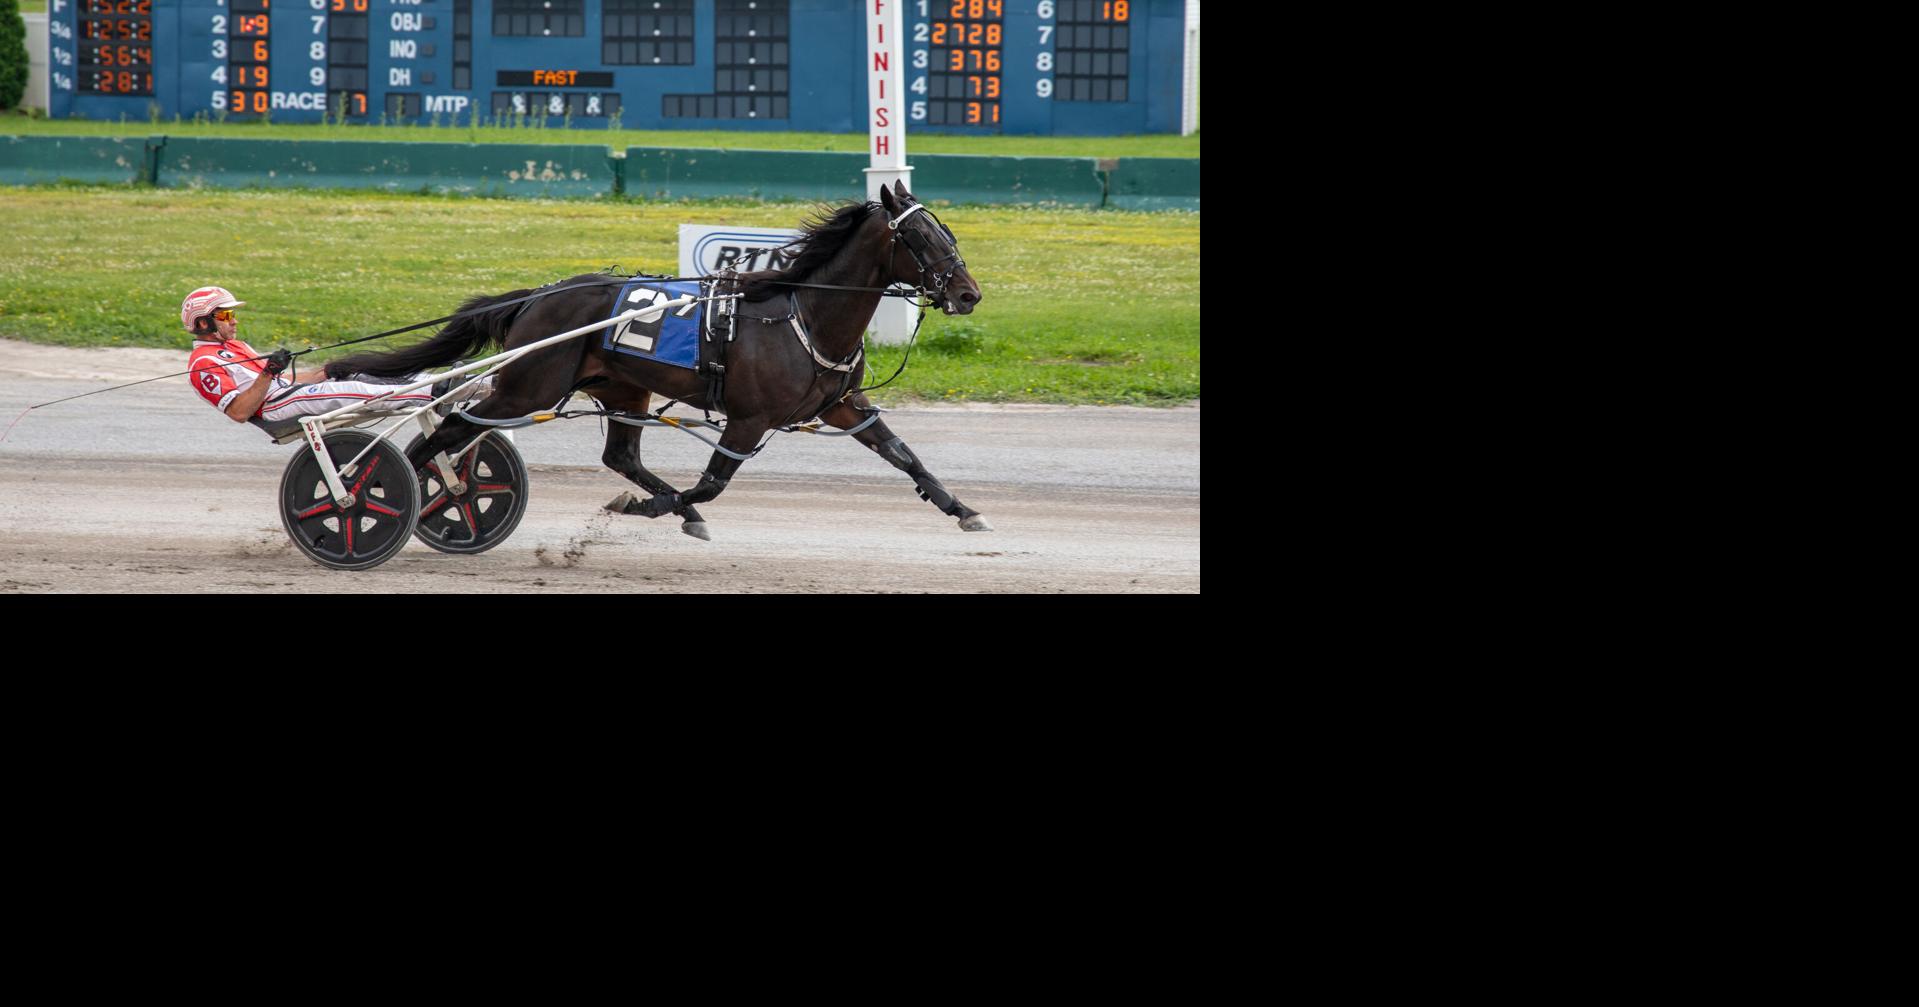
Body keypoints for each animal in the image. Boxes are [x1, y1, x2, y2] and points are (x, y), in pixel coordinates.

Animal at [323, 182, 990, 541]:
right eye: (922, 238)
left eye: (947, 232)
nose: (968, 294)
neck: (802, 313)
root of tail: (537, 296)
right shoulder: (748, 420)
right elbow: (714, 484)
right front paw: (652, 508)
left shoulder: (845, 405)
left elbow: (903, 454)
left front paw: (963, 510)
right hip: (527, 388)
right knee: (450, 429)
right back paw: (368, 487)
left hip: (620, 390)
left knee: (618, 455)